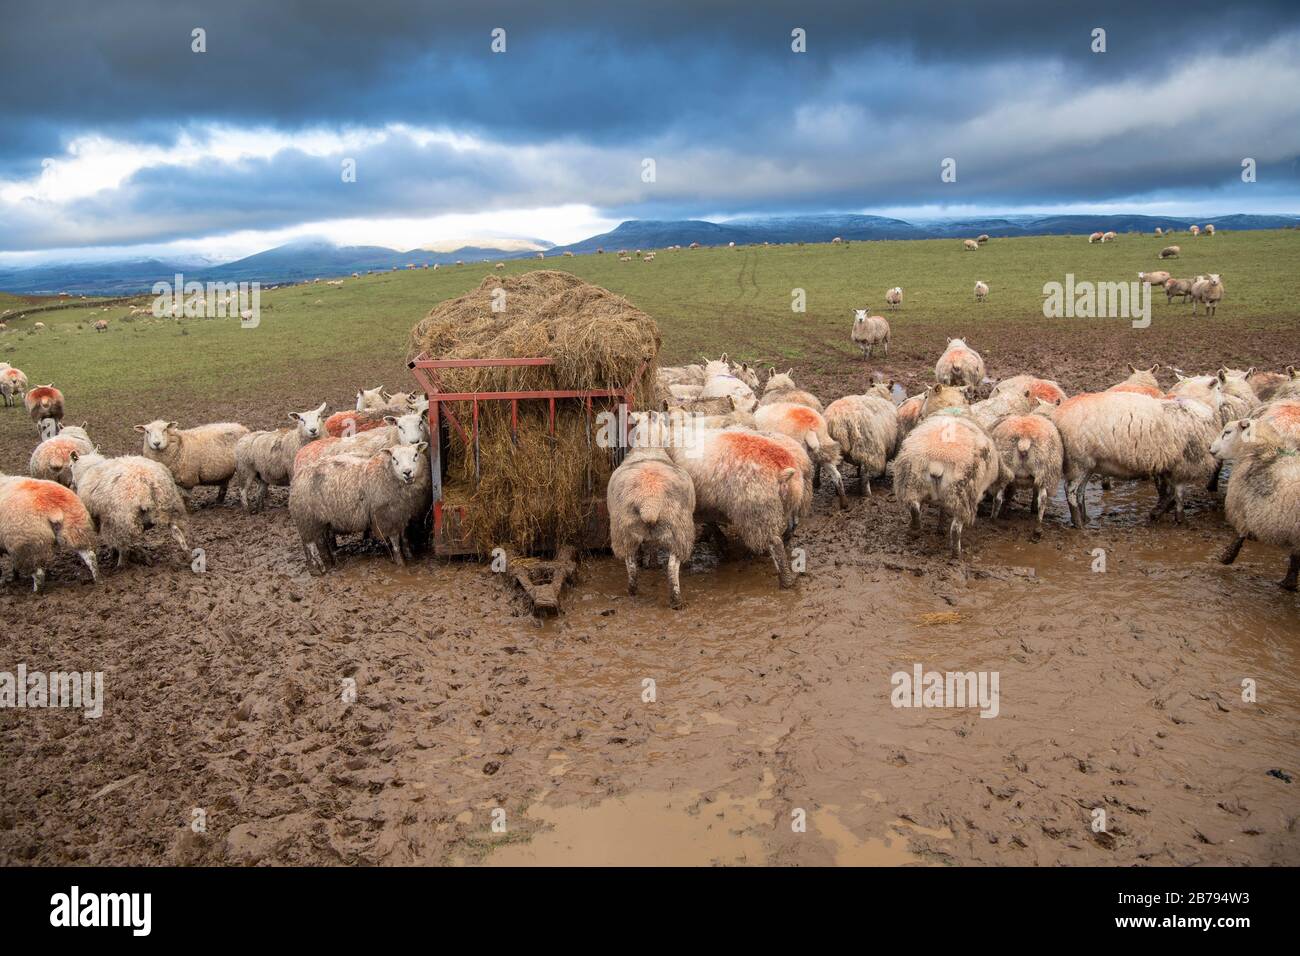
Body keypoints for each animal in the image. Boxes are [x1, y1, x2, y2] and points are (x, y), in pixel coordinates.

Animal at [606, 446, 696, 607]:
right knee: (672, 566)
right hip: (679, 531)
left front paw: (650, 562)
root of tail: (650, 502)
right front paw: (652, 562)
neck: (648, 447)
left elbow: (651, 545)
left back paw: (633, 589)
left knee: (631, 563)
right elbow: (653, 546)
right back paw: (675, 599)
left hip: (625, 531)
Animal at [893, 411, 1008, 557]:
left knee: (914, 507)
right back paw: (956, 553)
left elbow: (942, 510)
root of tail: (936, 461)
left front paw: (940, 528)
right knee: (955, 529)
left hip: (913, 483)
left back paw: (914, 529)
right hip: (961, 494)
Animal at [1051, 385, 1222, 527]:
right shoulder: (1182, 464)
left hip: (1088, 463)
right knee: (1071, 490)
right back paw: (1078, 523)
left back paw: (1085, 518)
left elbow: (1169, 492)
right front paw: (1178, 519)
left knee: (1080, 491)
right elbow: (1177, 493)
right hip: (1077, 461)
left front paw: (1160, 512)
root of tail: (1058, 415)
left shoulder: (1169, 464)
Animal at [1211, 419, 1300, 590]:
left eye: (1227, 432)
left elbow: (1240, 534)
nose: (1210, 450)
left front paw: (1226, 557)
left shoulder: (1242, 505)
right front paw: (1289, 583)